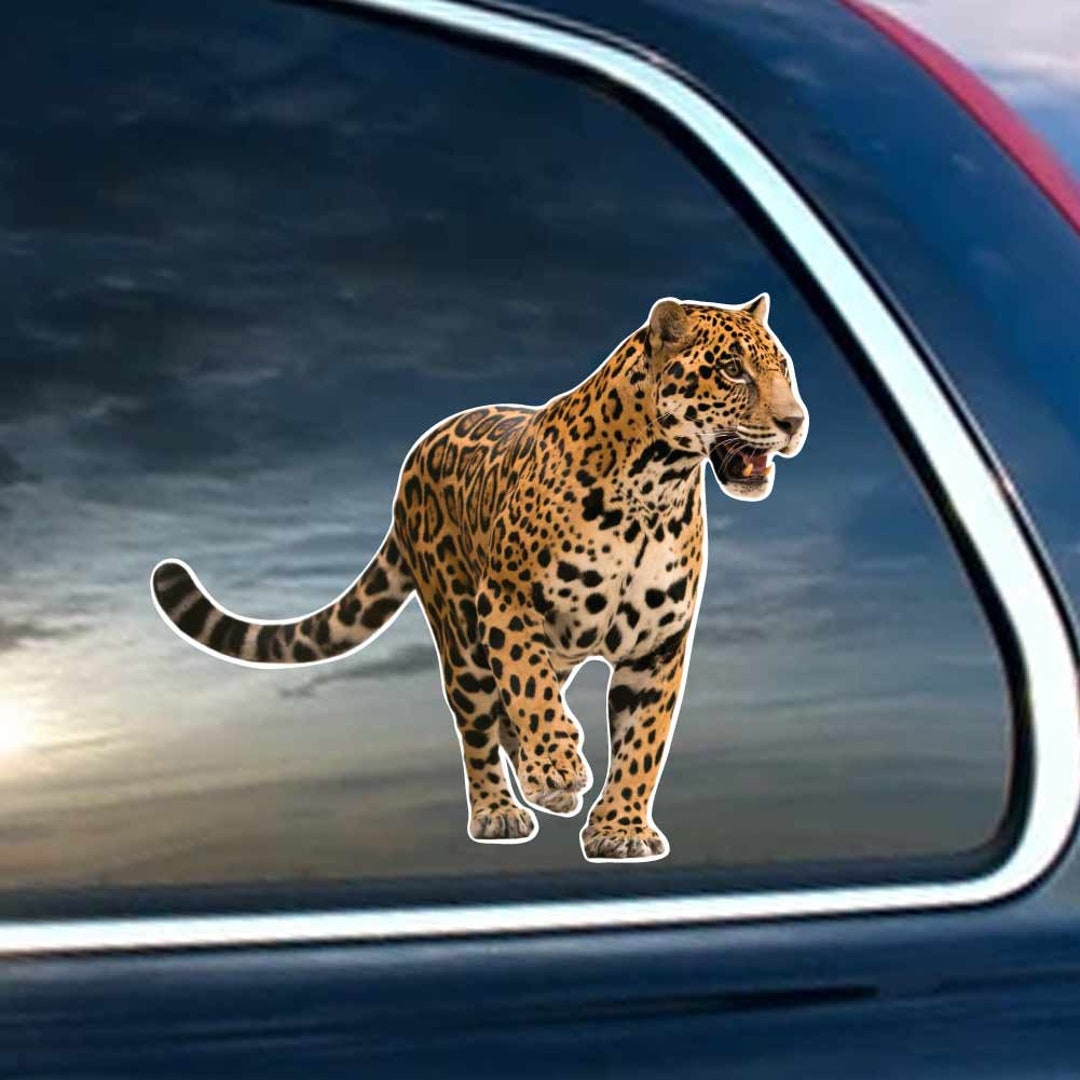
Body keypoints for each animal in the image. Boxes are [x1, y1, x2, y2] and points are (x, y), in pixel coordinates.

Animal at [151, 295, 808, 861]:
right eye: (733, 371)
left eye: (784, 370)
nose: (795, 422)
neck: (656, 487)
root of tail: (415, 456)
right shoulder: (508, 602)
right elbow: (530, 689)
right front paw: (558, 766)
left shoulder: (660, 642)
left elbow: (643, 740)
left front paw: (619, 828)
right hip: (462, 634)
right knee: (480, 720)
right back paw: (501, 807)